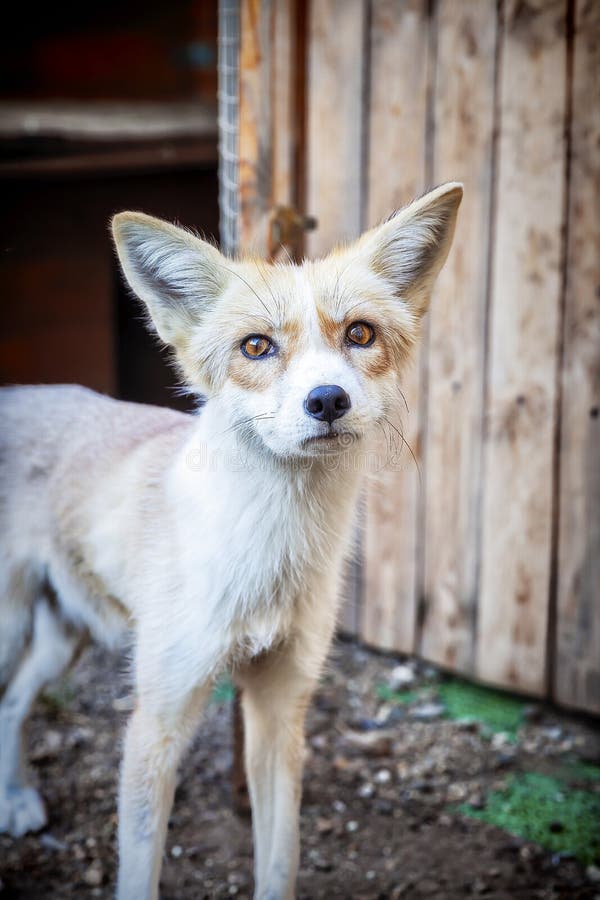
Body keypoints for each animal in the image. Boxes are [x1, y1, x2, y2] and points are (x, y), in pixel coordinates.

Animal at [0, 182, 462, 899]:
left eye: (360, 333)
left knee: (14, 703)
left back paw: (18, 796)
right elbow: (139, 874)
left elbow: (280, 859)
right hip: (15, 626)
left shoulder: (278, 709)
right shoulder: (158, 718)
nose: (327, 400)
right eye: (256, 347)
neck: (268, 560)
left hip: (62, 639)